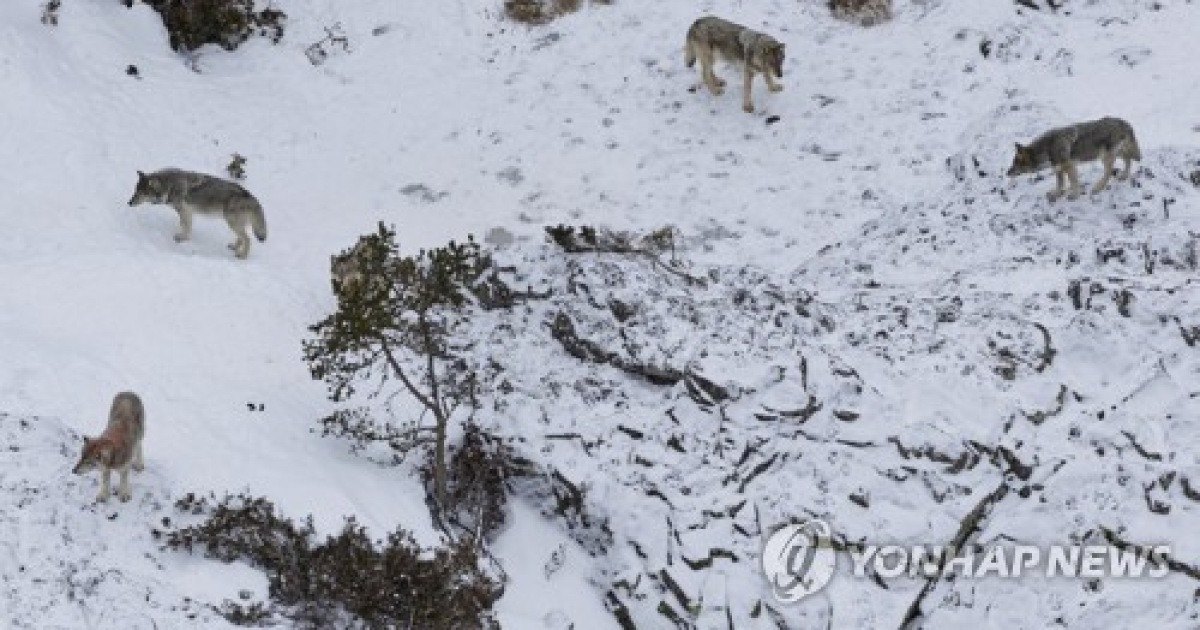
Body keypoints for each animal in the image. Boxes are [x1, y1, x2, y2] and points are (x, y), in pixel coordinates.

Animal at [128, 168, 268, 259]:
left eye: (140, 193)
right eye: (135, 191)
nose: (129, 203)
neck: (170, 186)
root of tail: (251, 196)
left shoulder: (184, 211)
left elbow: (185, 226)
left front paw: (182, 238)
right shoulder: (188, 213)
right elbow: (185, 225)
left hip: (232, 223)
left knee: (248, 239)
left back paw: (242, 256)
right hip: (233, 223)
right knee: (241, 238)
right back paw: (234, 247)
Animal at [1007, 117, 1142, 202]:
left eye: (1015, 163)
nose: (1007, 173)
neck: (1047, 148)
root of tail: (1125, 123)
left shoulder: (1069, 166)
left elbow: (1073, 182)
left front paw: (1074, 195)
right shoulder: (1059, 168)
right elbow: (1060, 184)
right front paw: (1057, 194)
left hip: (1105, 157)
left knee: (1109, 172)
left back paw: (1098, 188)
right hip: (1116, 153)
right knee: (1128, 160)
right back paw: (1124, 176)